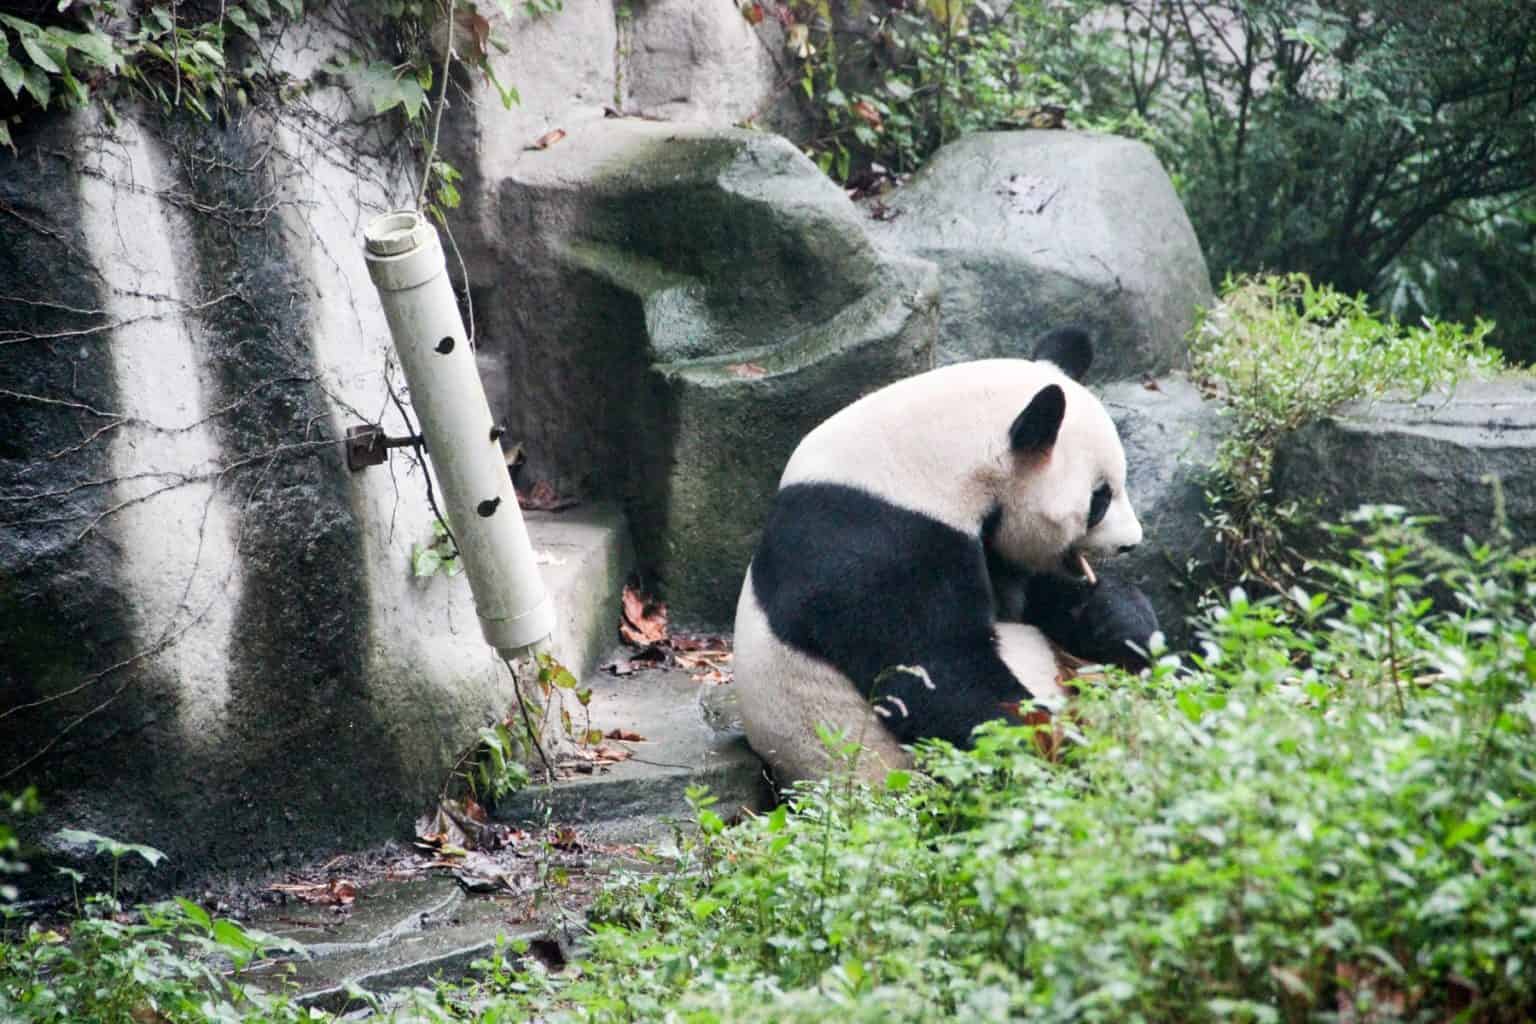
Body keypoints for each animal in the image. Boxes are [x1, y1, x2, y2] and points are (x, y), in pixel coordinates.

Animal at [732, 328, 1147, 785]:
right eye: (1100, 498)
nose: (1132, 542)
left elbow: (1037, 599)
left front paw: (1119, 617)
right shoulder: (880, 542)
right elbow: (933, 673)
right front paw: (1047, 744)